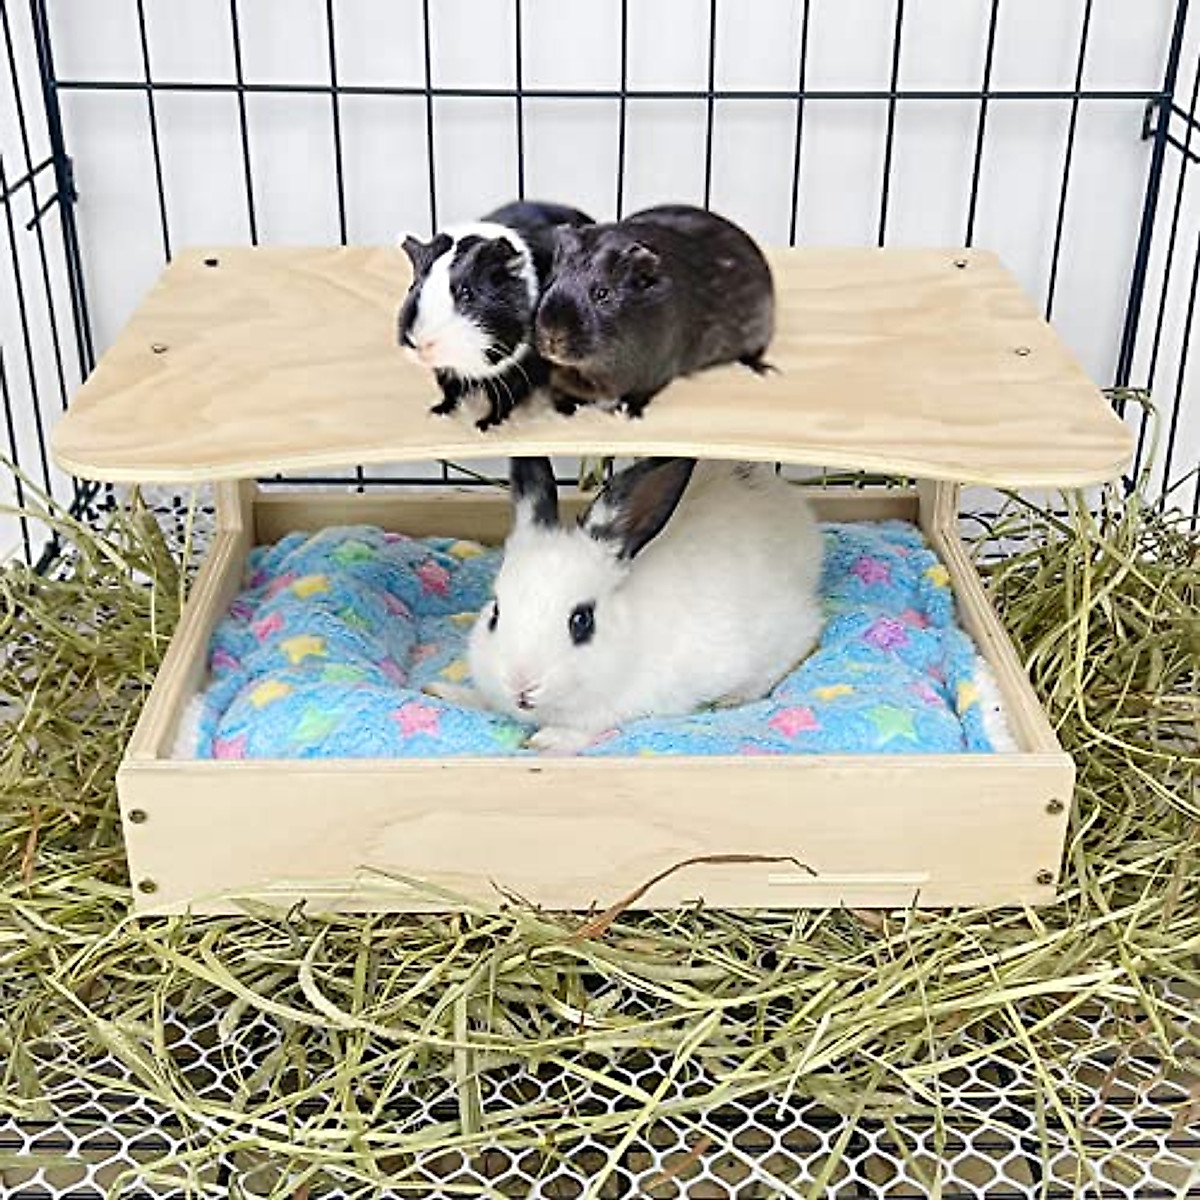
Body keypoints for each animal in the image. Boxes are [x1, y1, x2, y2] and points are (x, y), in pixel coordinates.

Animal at [398, 200, 594, 431]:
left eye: (467, 293)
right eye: (413, 287)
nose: (420, 344)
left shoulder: (515, 373)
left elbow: (502, 400)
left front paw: (484, 425)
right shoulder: (447, 371)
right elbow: (450, 390)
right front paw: (438, 411)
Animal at [534, 204, 775, 418]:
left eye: (602, 293)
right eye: (551, 281)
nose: (552, 336)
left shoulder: (655, 373)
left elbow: (639, 395)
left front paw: (628, 413)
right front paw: (567, 410)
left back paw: (765, 370)